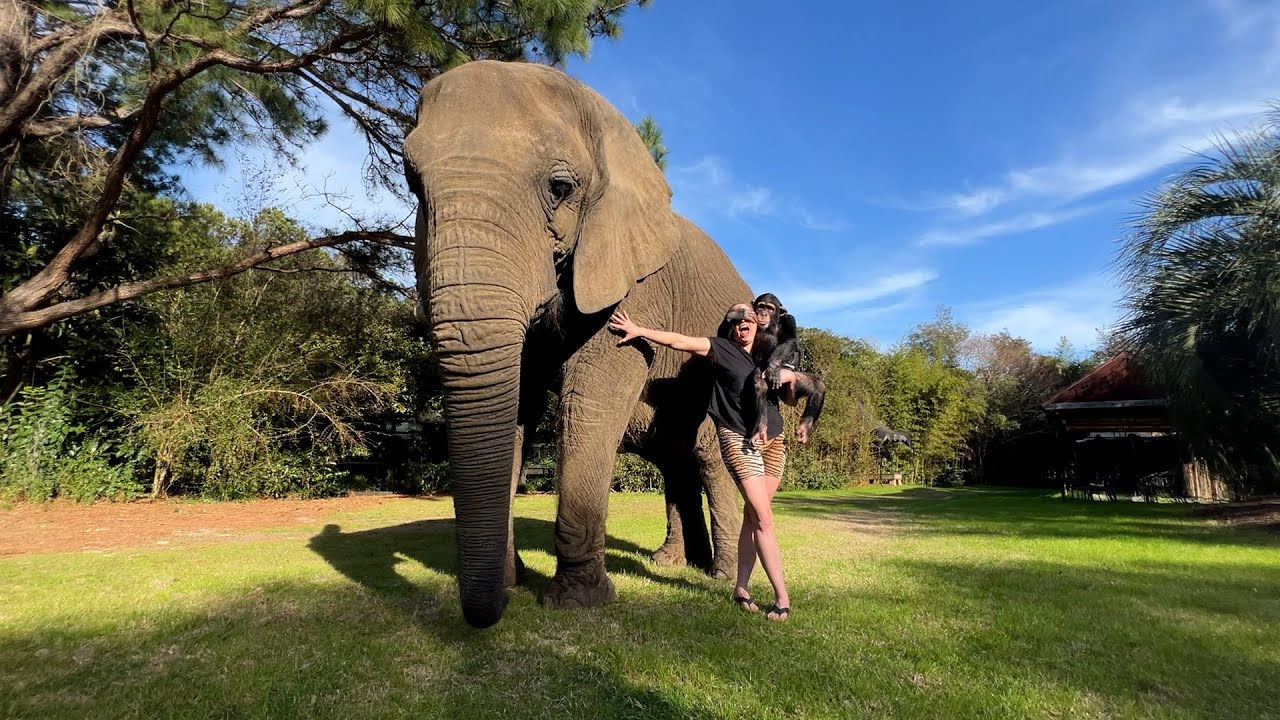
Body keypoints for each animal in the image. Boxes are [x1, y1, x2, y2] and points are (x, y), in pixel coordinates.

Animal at [404, 60, 755, 629]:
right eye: (412, 182)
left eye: (561, 187)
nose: (491, 613)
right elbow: (516, 406)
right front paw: (514, 582)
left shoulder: (640, 283)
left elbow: (589, 403)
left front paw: (575, 602)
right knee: (676, 464)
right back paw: (674, 563)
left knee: (707, 459)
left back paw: (719, 576)